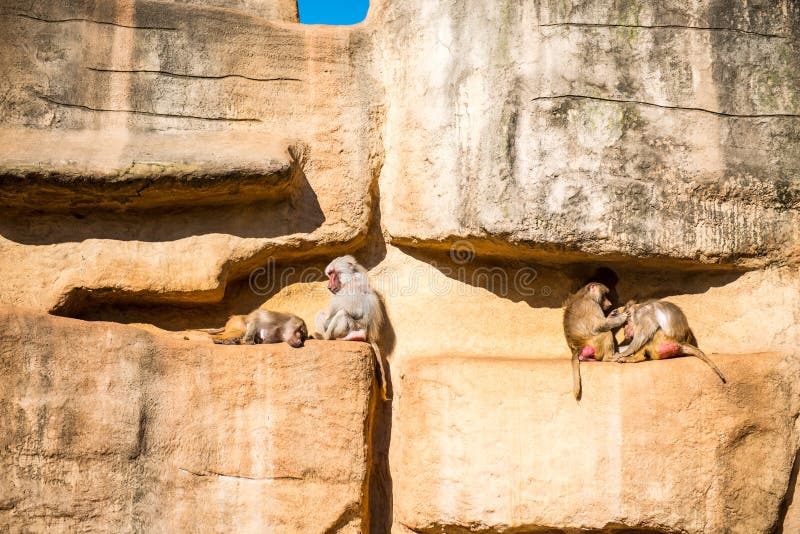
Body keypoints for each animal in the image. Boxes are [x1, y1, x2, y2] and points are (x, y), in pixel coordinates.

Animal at [315, 255, 391, 401]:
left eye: (332, 273)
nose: (329, 287)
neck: (352, 276)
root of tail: (367, 335)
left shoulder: (347, 290)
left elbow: (330, 317)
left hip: (349, 327)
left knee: (339, 314)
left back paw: (325, 337)